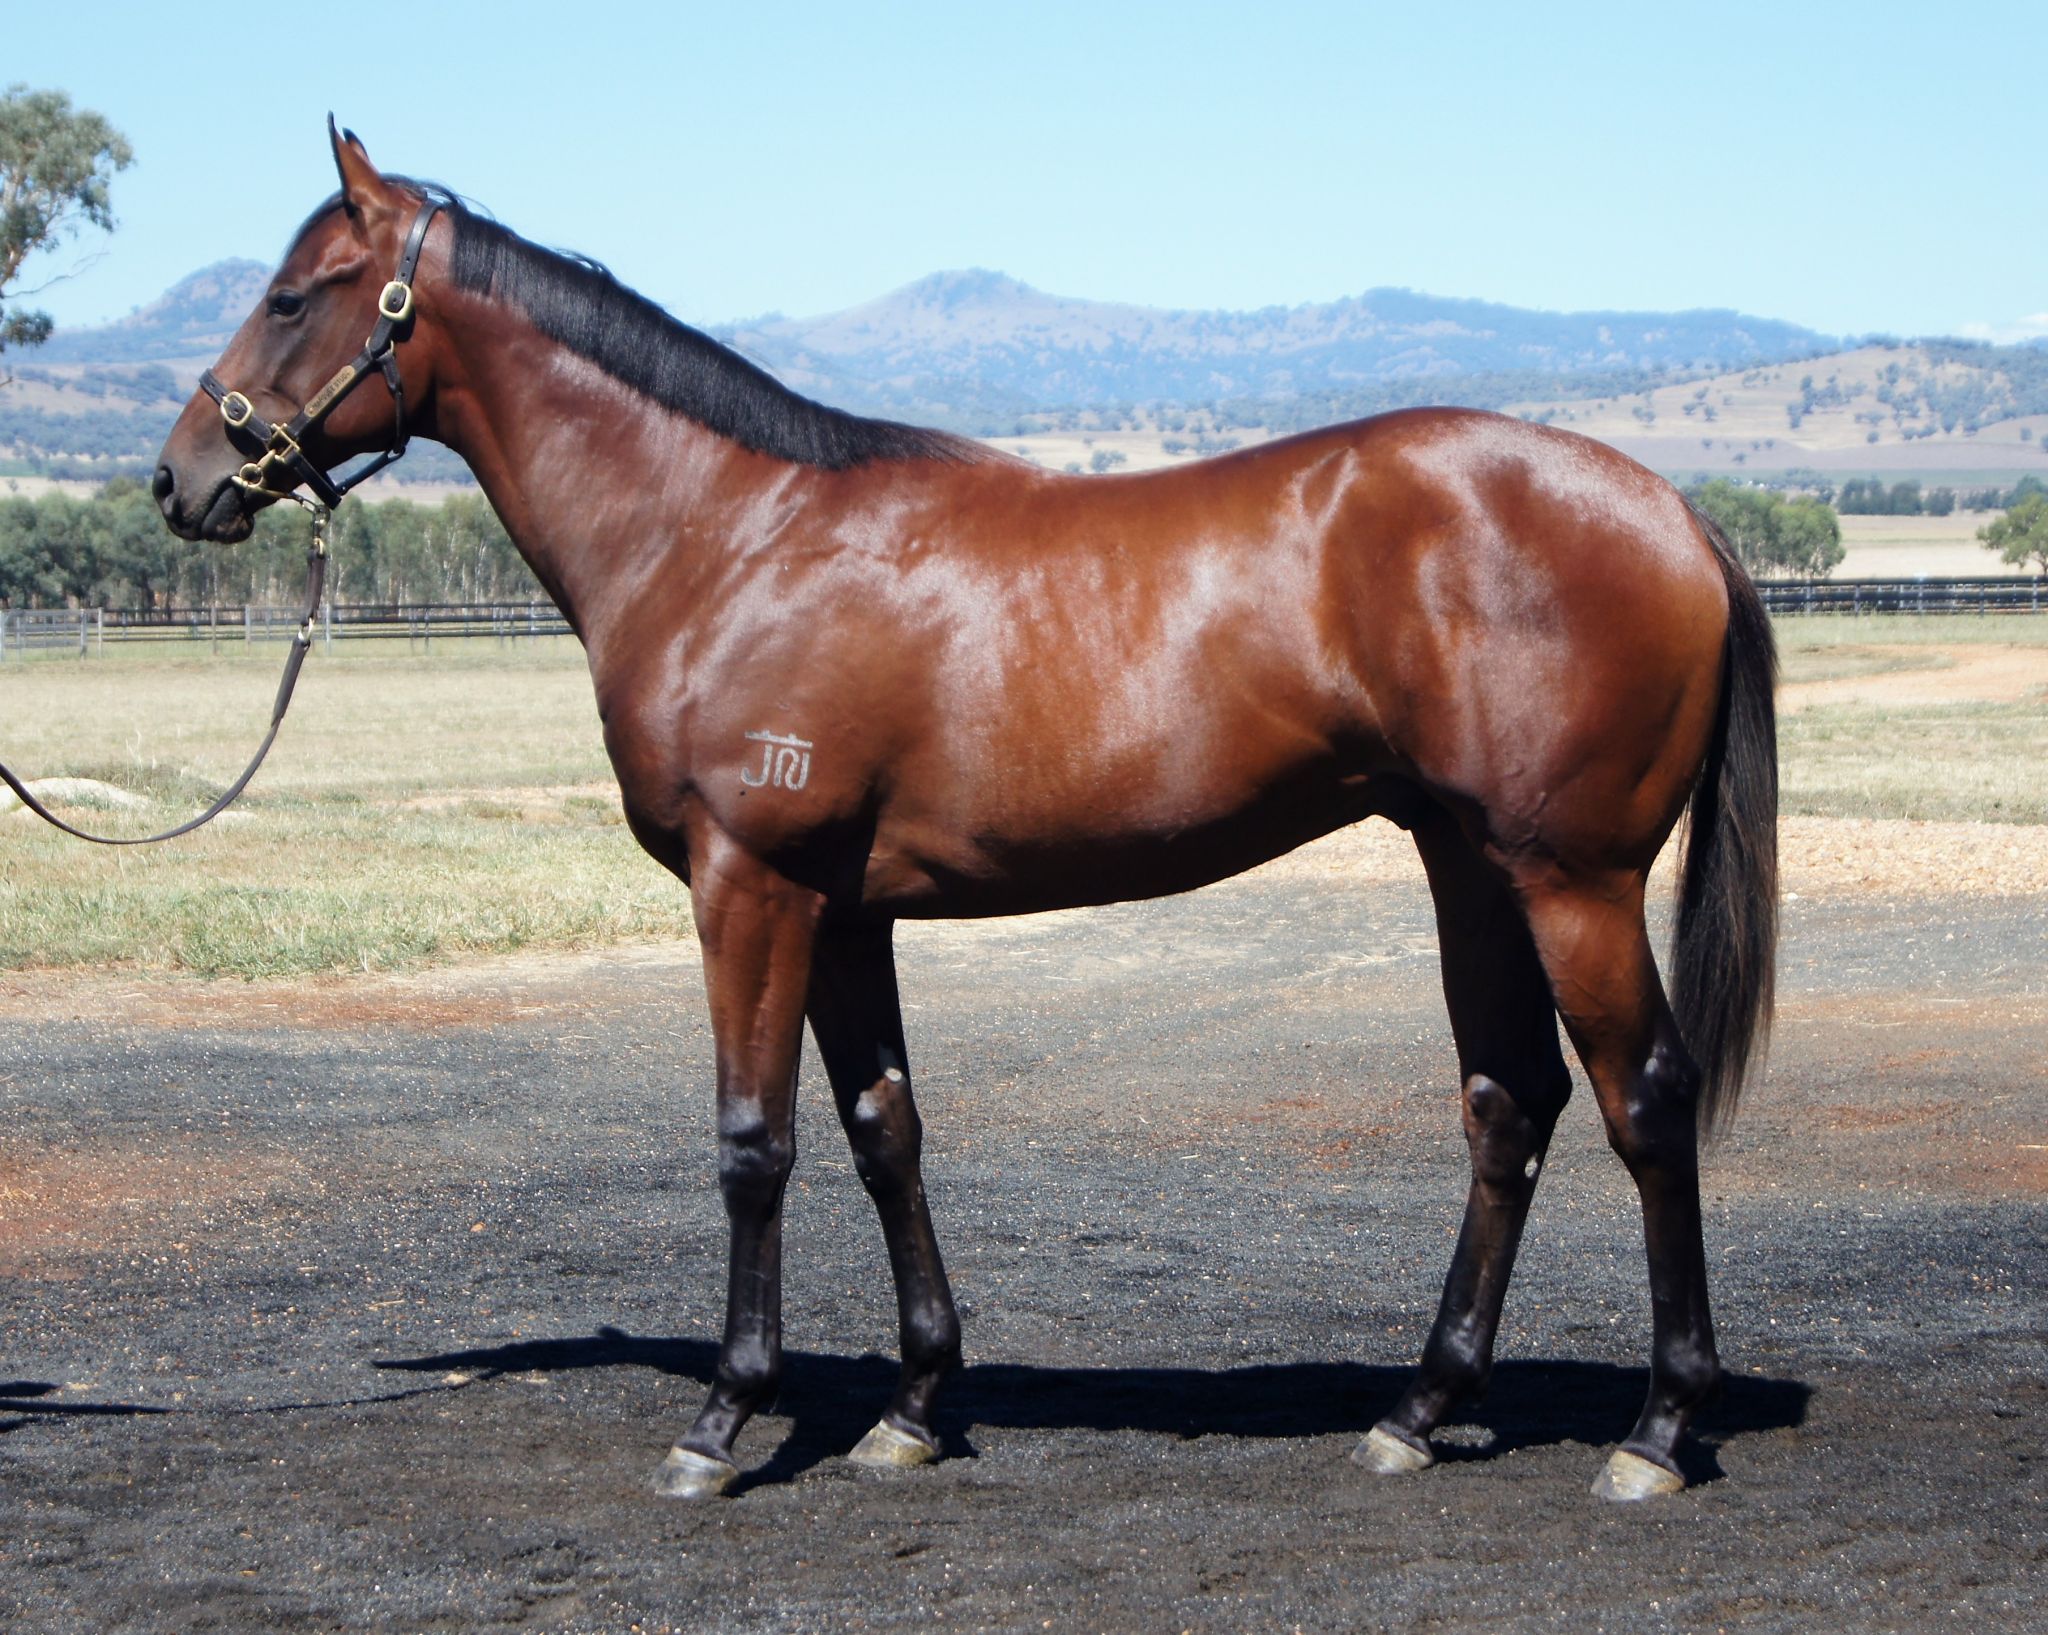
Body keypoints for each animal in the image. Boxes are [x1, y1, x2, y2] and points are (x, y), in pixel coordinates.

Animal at [153, 125, 1777, 1504]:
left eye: (292, 297)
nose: (178, 480)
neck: (728, 536)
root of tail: (1680, 518)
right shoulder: (843, 906)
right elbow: (885, 1130)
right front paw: (915, 1407)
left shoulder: (751, 883)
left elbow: (754, 1141)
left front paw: (723, 1419)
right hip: (1468, 863)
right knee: (1510, 1103)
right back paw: (1421, 1410)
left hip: (1571, 878)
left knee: (1644, 1101)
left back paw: (1654, 1429)